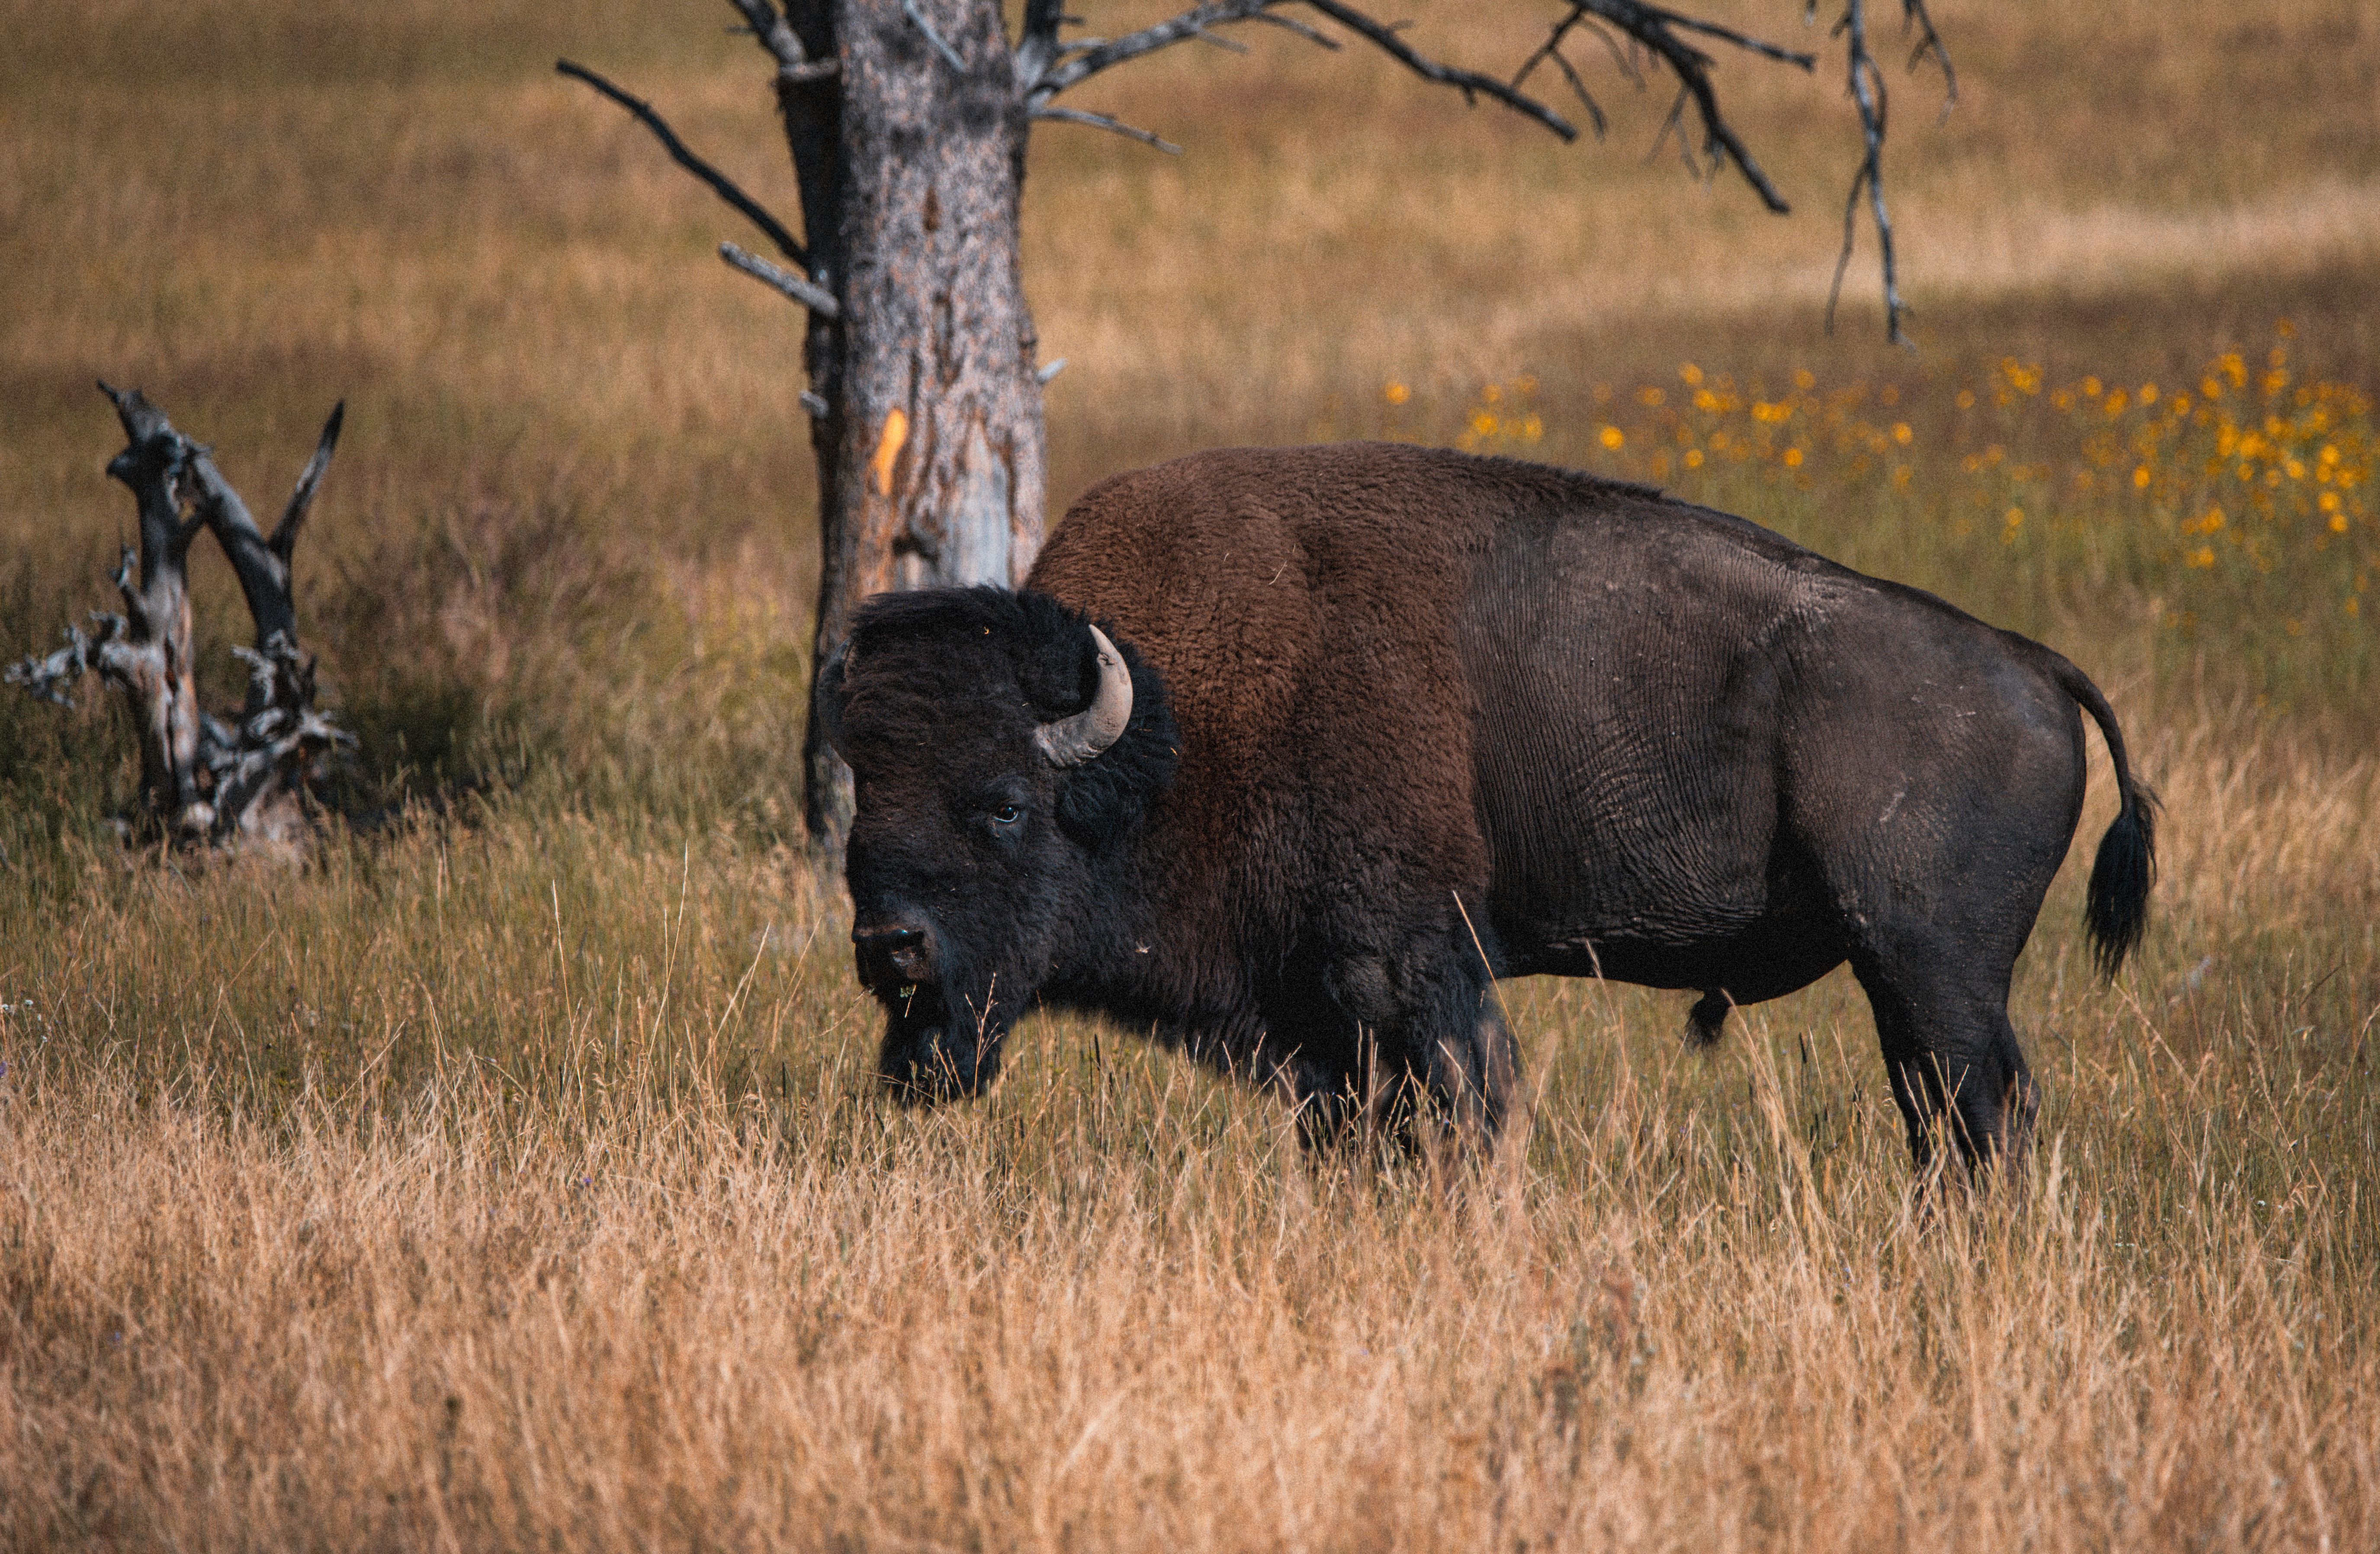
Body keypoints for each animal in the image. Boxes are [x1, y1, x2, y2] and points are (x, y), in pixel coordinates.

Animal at [823, 442, 2154, 1169]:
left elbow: (1464, 1112)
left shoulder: (1409, 974)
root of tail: (2031, 664)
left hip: (1929, 969)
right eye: (859, 800)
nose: (891, 946)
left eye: (1002, 804)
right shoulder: (1323, 1025)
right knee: (1950, 1113)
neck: (1165, 727)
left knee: (1977, 1110)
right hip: (1915, 985)